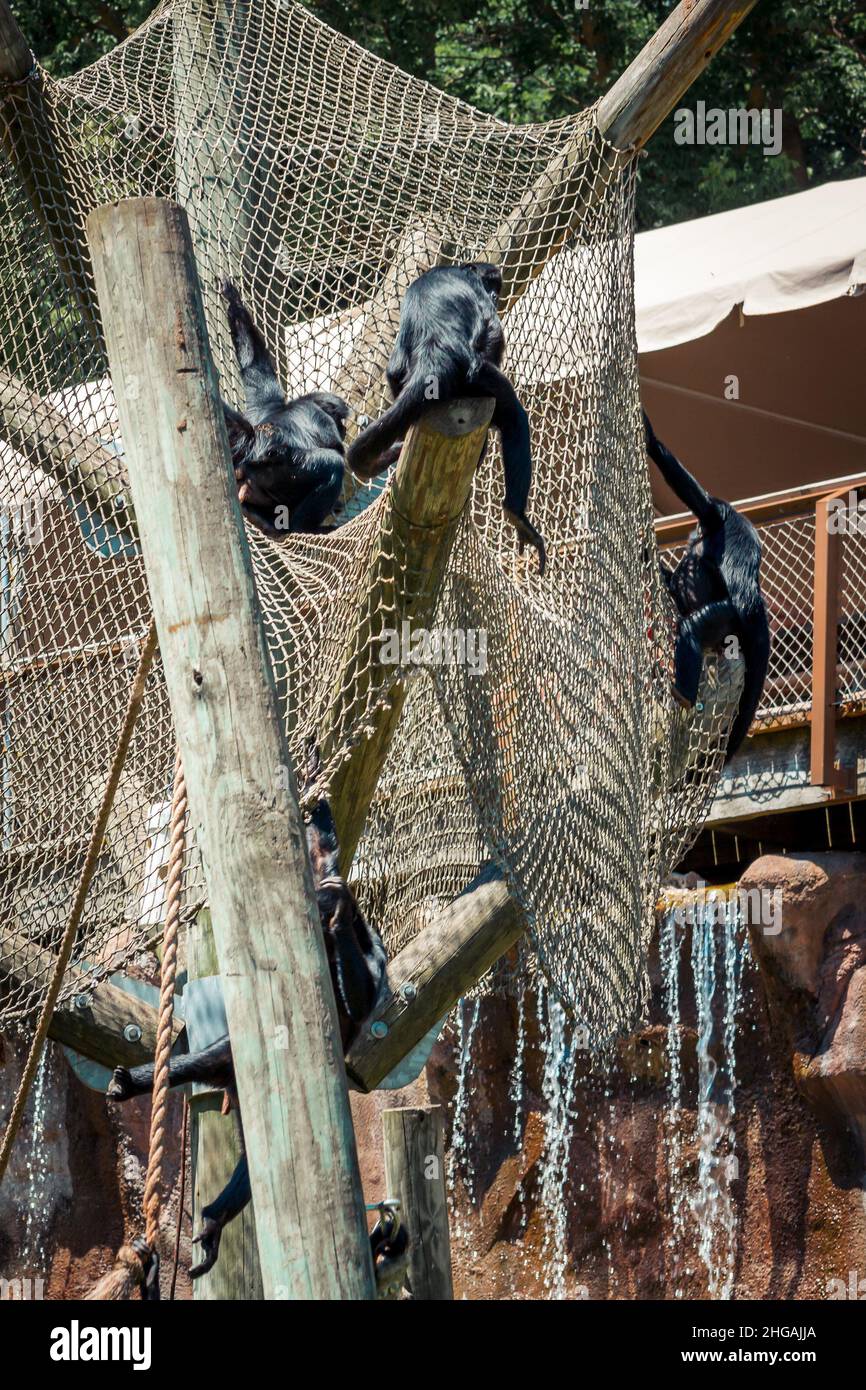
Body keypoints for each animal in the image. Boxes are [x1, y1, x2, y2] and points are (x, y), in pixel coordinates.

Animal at [107, 750, 387, 1279]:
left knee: (262, 1161)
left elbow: (363, 1000)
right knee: (198, 1066)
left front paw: (338, 909)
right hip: (231, 1064)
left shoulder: (372, 952)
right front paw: (314, 779)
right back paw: (134, 1084)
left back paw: (214, 1219)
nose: (323, 919)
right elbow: (321, 852)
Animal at [220, 280, 350, 537]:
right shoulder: (319, 419)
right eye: (340, 423)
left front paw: (233, 301)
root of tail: (254, 442)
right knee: (332, 464)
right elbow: (336, 449)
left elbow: (255, 366)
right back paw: (304, 528)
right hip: (287, 468)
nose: (345, 428)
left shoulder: (266, 401)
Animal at [347, 263, 546, 574]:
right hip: (480, 379)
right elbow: (492, 328)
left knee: (396, 371)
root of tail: (435, 356)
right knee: (515, 416)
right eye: (492, 288)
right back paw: (515, 514)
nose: (495, 295)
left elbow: (393, 370)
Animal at [643, 410, 770, 762]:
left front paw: (649, 436)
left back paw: (683, 693)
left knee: (694, 627)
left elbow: (693, 492)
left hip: (728, 618)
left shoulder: (717, 511)